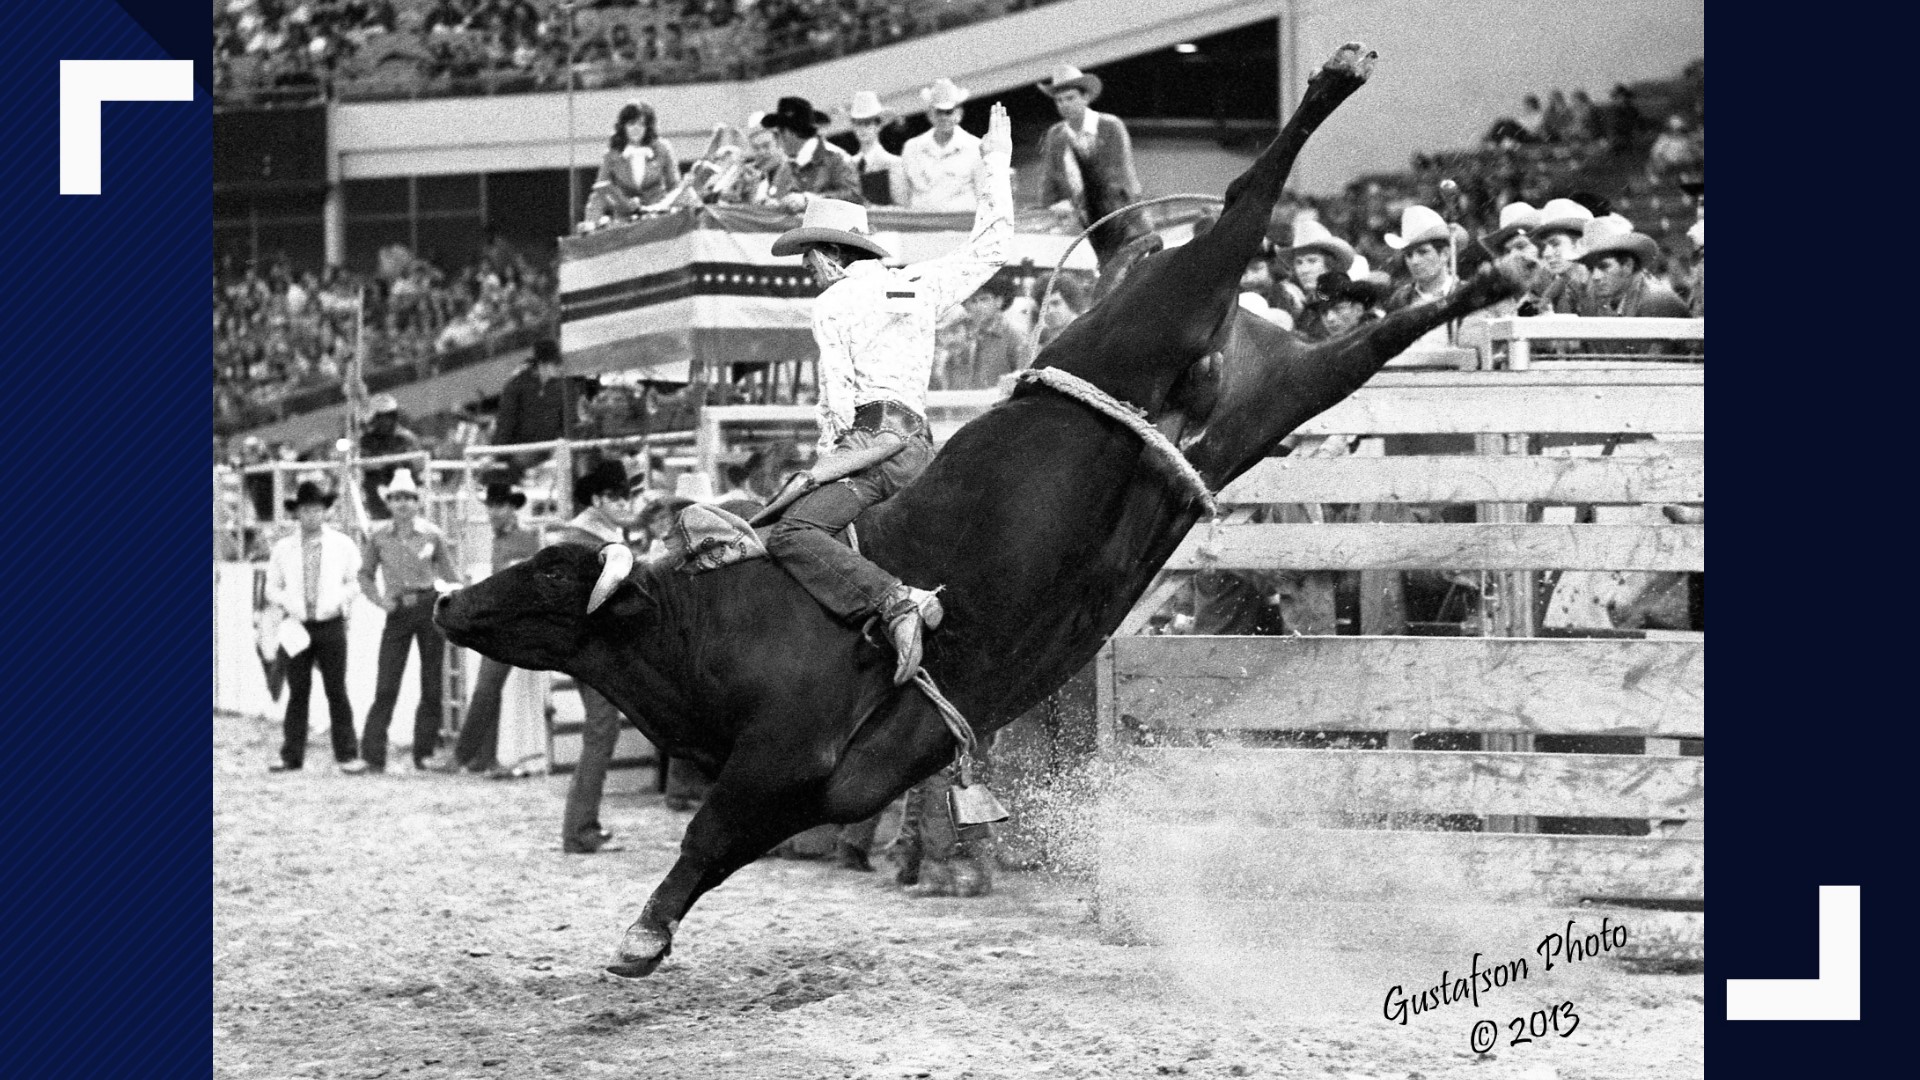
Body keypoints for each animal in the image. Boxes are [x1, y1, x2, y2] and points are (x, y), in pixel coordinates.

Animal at [435, 42, 1539, 978]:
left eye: (547, 572)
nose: (449, 603)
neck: (701, 625)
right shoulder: (832, 783)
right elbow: (725, 843)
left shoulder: (783, 763)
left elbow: (705, 835)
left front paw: (640, 936)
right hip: (1266, 402)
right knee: (1356, 346)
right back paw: (1485, 276)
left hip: (1160, 308)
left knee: (1236, 204)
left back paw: (1336, 89)